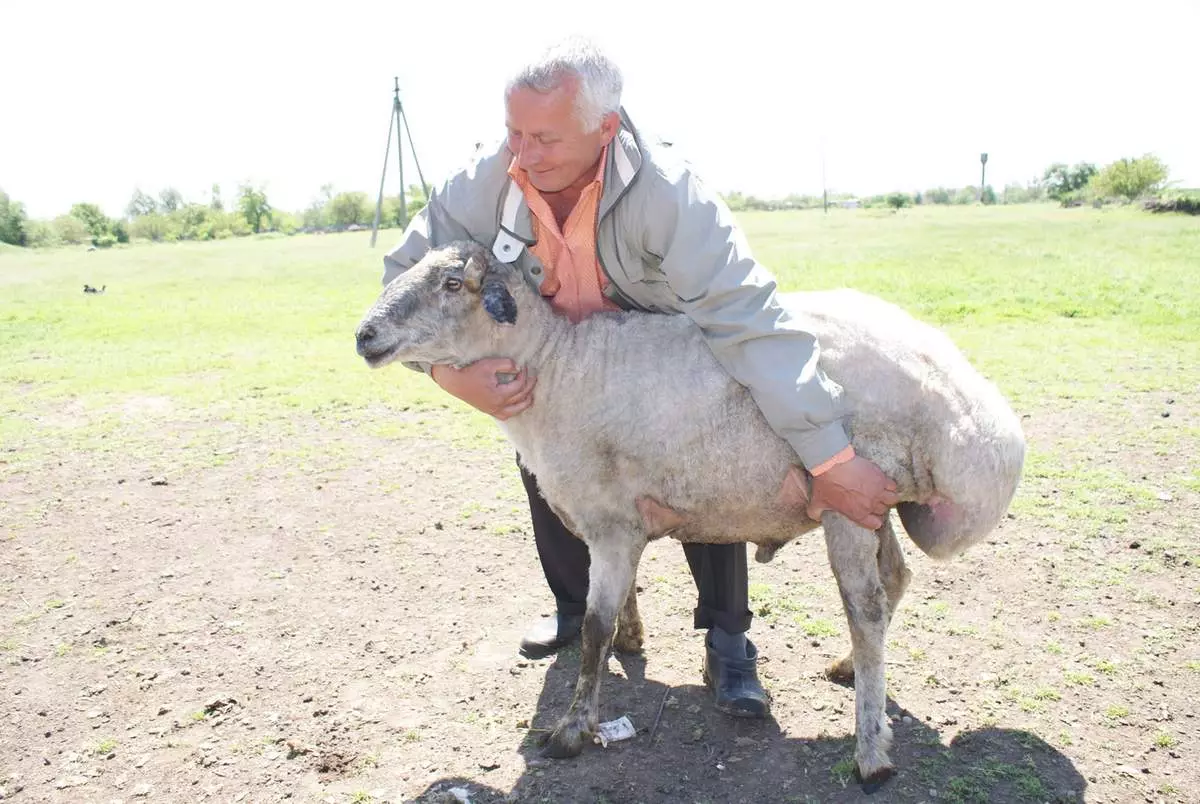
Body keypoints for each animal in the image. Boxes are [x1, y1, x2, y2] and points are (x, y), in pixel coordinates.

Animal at [350, 241, 1027, 792]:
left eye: (452, 283)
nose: (364, 336)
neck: (559, 368)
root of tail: (973, 404)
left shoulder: (612, 524)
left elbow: (591, 629)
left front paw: (572, 730)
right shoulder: (614, 524)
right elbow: (615, 609)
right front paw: (631, 638)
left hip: (849, 501)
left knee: (866, 610)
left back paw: (870, 751)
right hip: (874, 505)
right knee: (894, 583)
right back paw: (854, 681)